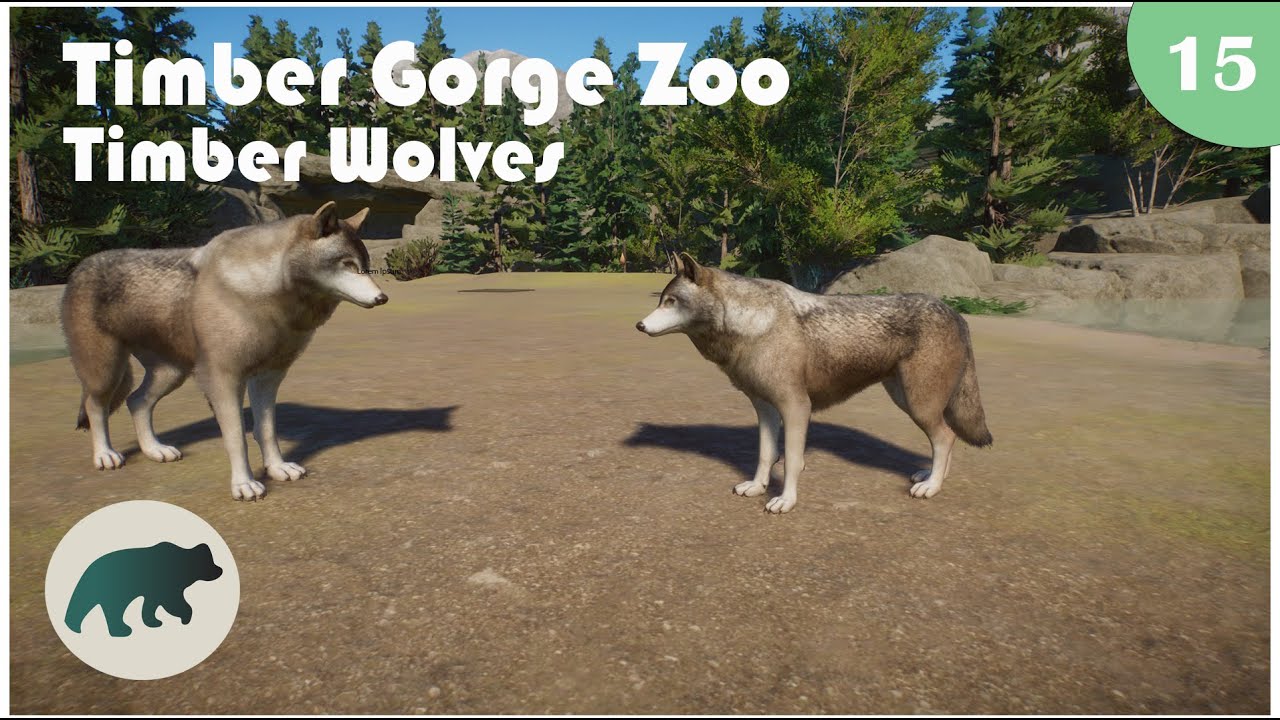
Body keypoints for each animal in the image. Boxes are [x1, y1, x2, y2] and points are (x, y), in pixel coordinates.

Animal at [61, 202, 388, 500]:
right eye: (348, 265)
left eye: (365, 266)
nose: (382, 298)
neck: (264, 293)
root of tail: (81, 266)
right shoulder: (224, 380)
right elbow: (237, 438)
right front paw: (244, 484)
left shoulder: (268, 377)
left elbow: (265, 430)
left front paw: (277, 468)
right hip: (107, 371)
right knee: (95, 407)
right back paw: (105, 455)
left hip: (171, 373)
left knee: (136, 401)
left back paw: (155, 450)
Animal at [636, 253, 992, 513]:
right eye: (662, 300)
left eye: (671, 301)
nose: (639, 325)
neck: (753, 324)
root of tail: (956, 314)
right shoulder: (765, 409)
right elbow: (766, 454)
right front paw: (756, 487)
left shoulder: (796, 408)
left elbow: (791, 461)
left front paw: (785, 501)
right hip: (907, 399)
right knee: (946, 437)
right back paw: (931, 476)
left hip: (919, 405)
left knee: (945, 437)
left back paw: (930, 486)